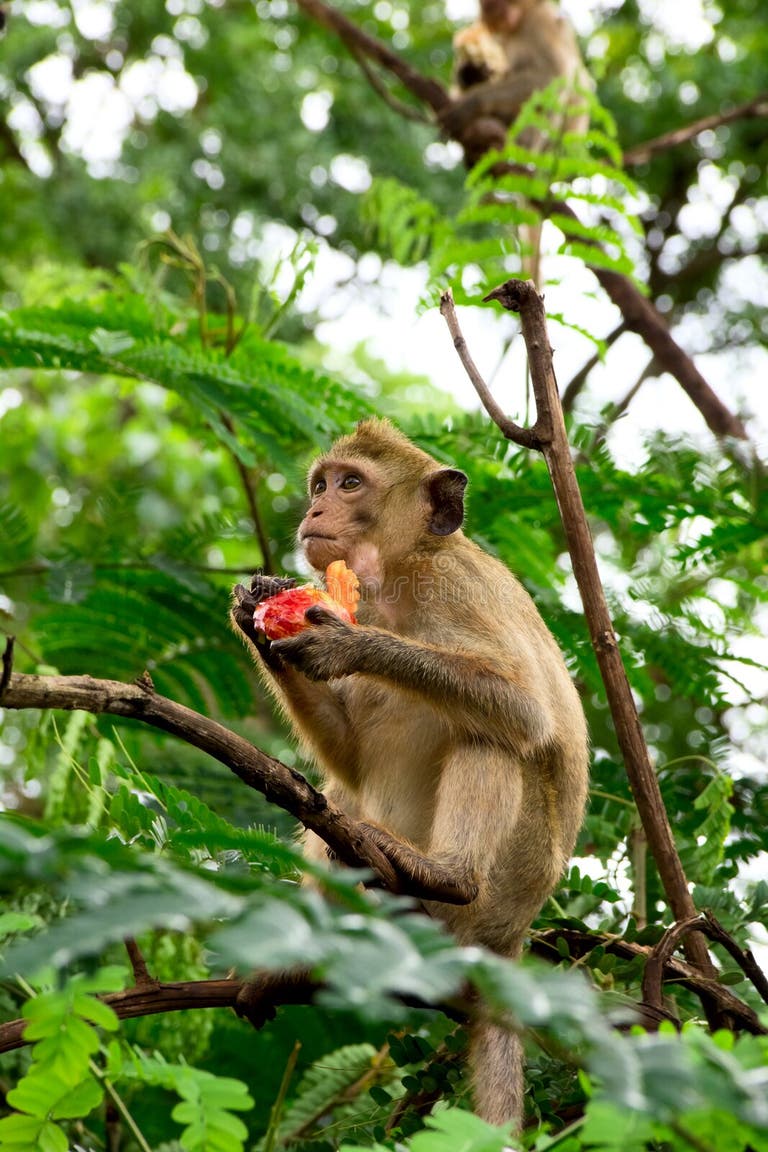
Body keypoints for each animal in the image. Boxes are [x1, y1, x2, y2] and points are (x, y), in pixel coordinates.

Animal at [231, 418, 589, 1126]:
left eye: (350, 483)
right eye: (320, 485)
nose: (314, 510)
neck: (395, 582)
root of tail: (509, 942)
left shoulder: (457, 587)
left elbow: (525, 712)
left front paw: (345, 644)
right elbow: (348, 758)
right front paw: (258, 612)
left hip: (503, 890)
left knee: (494, 738)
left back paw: (444, 875)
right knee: (339, 799)